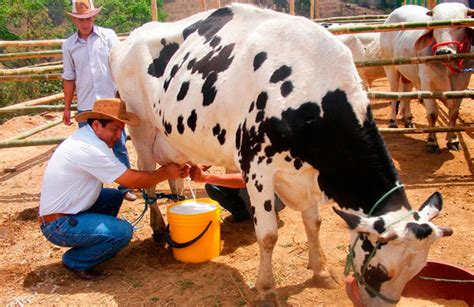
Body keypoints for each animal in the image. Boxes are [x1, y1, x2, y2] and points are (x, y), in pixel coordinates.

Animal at [110, 4, 452, 306]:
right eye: (382, 271)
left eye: (416, 273)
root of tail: (135, 34)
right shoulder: (256, 167)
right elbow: (268, 235)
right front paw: (266, 289)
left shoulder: (308, 173)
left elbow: (313, 222)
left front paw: (321, 272)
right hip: (141, 128)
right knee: (148, 176)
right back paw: (158, 228)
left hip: (174, 135)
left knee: (174, 175)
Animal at [382, 4, 474, 153]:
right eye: (434, 25)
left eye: (459, 25)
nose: (443, 52)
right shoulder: (427, 84)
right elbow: (432, 114)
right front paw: (432, 141)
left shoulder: (462, 84)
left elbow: (454, 113)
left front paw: (452, 140)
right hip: (391, 69)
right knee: (394, 94)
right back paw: (393, 122)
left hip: (409, 75)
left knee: (406, 94)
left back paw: (408, 120)